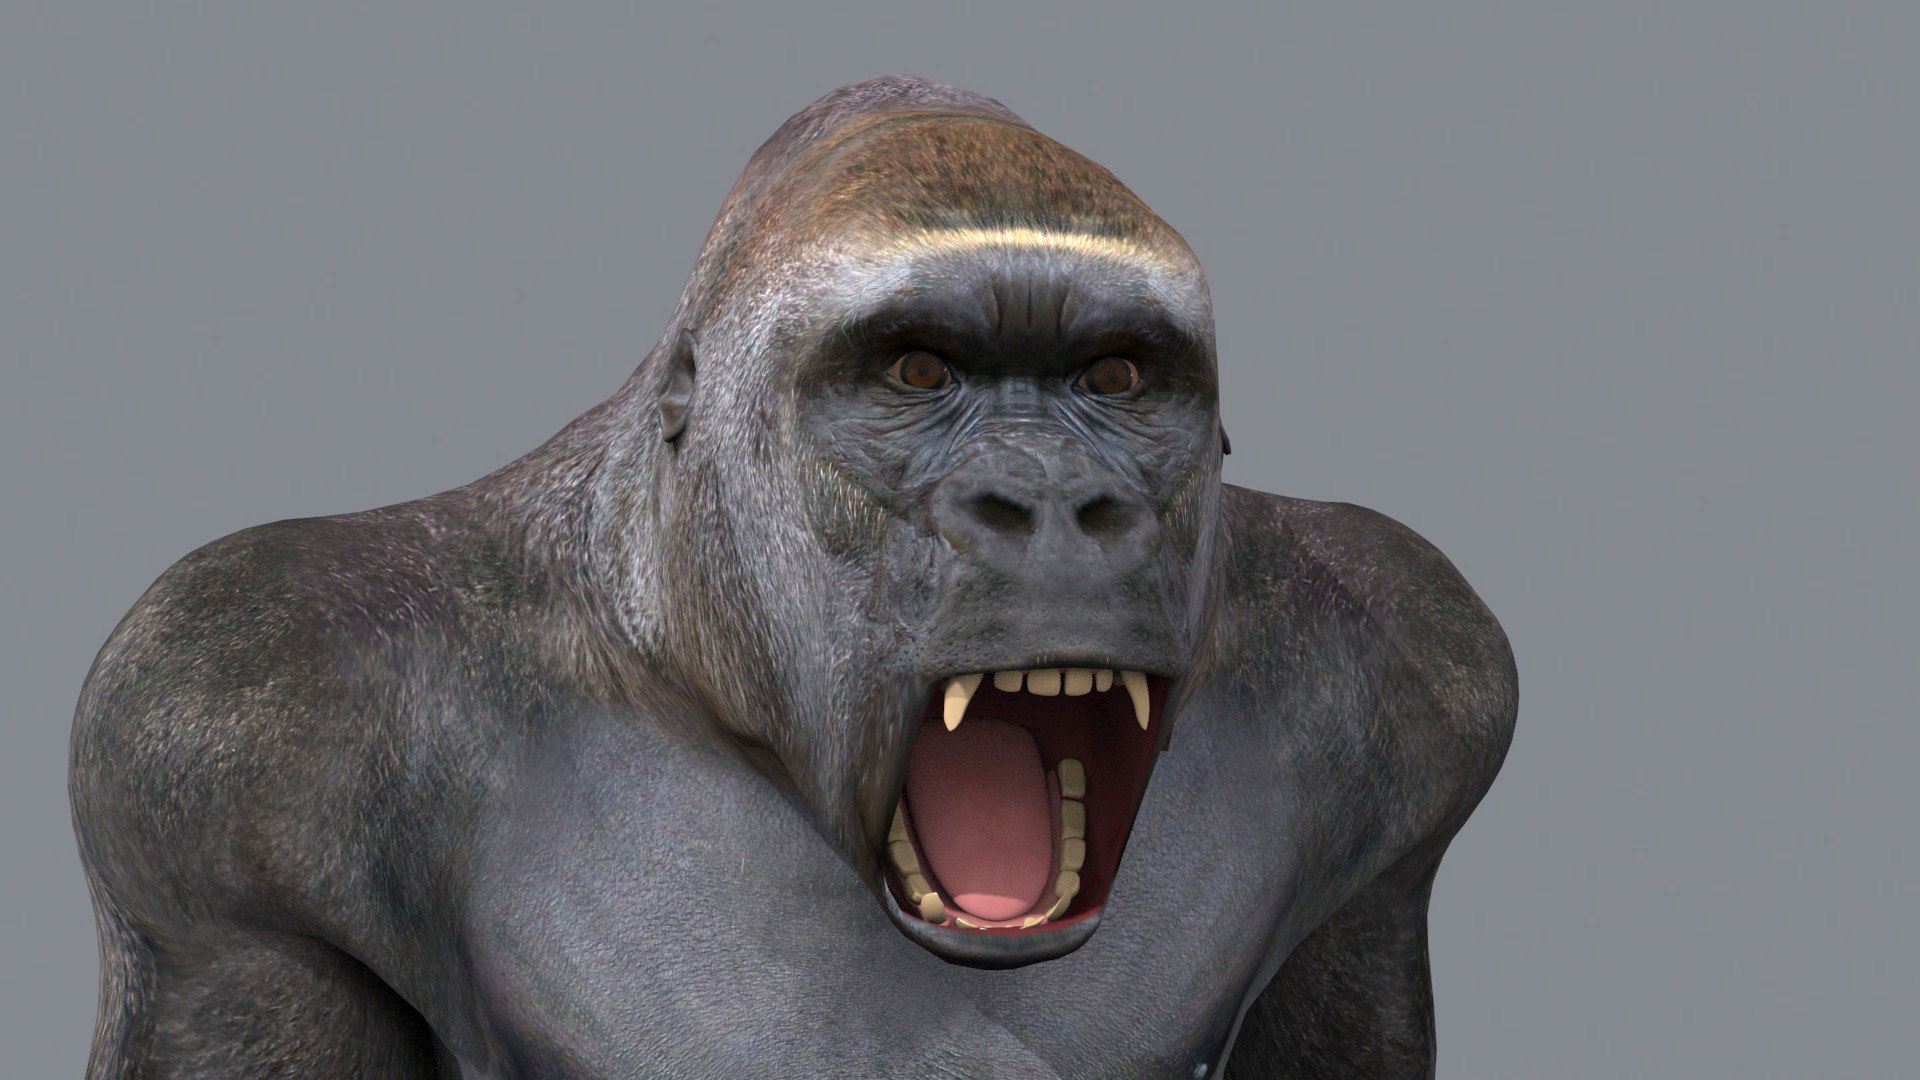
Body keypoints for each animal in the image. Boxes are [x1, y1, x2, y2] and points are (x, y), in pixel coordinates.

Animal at [69, 76, 1516, 1078]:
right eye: (918, 370)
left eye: (1116, 378)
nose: (1055, 500)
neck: (671, 637)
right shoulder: (220, 715)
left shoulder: (1413, 658)